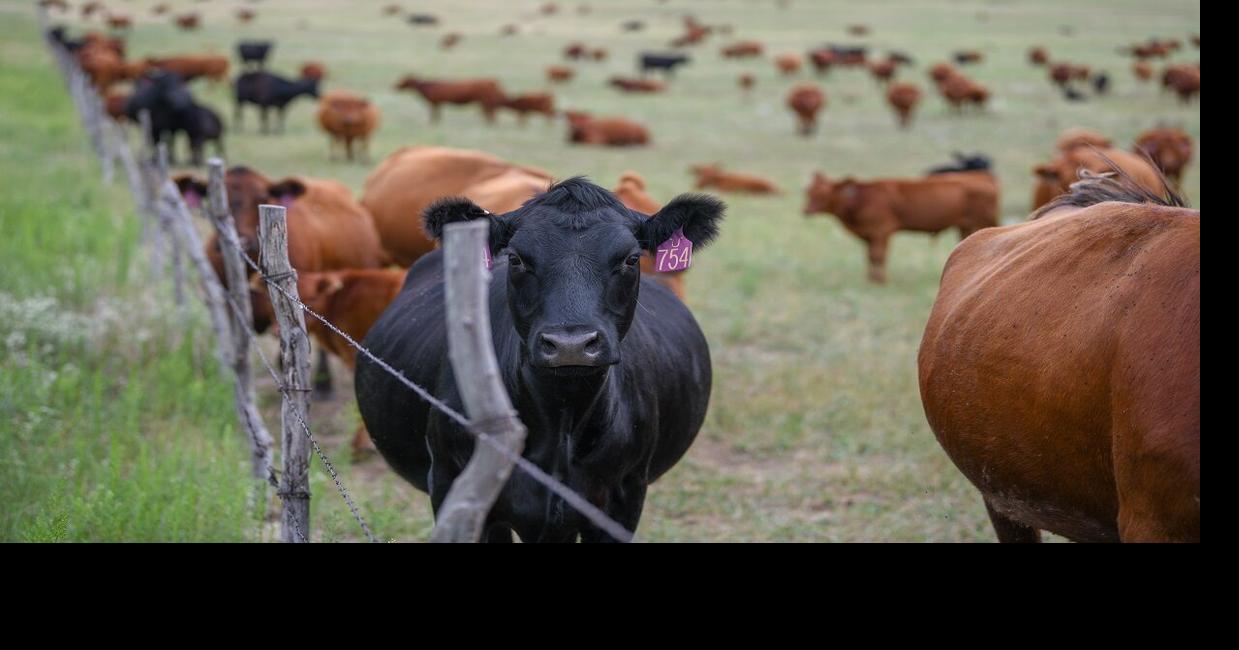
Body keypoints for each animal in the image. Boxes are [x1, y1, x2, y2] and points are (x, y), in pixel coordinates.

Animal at [354, 177, 726, 542]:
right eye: (517, 259)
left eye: (631, 259)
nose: (570, 343)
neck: (562, 419)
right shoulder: (451, 484)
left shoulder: (625, 496)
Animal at [803, 170, 999, 283]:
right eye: (808, 192)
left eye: (824, 194)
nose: (805, 210)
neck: (862, 199)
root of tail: (982, 177)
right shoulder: (869, 235)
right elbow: (870, 256)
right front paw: (870, 279)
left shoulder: (881, 231)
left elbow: (878, 256)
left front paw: (880, 281)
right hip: (966, 227)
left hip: (982, 222)